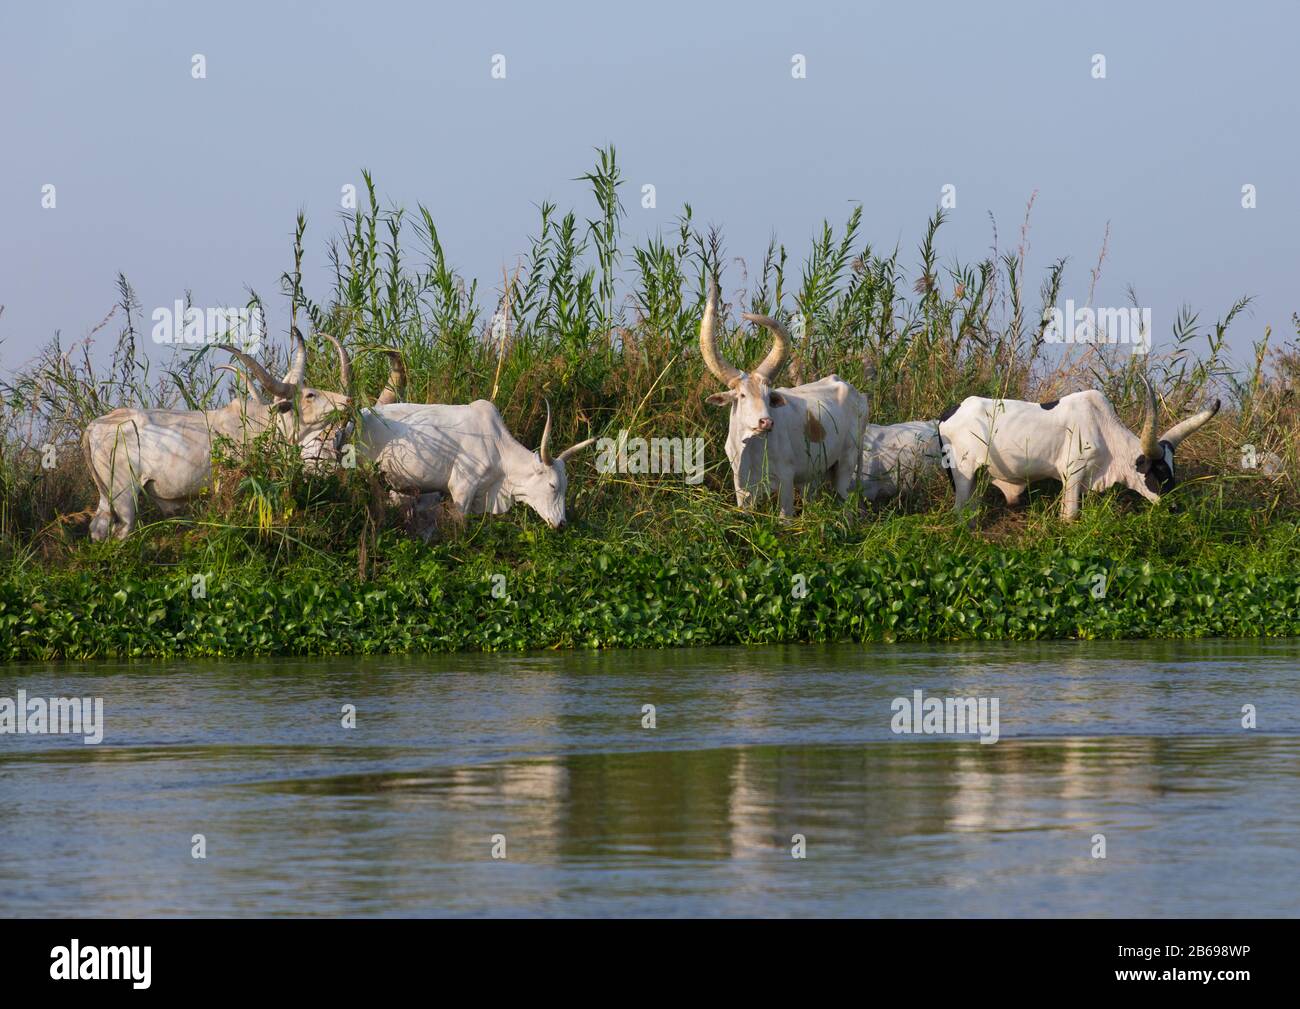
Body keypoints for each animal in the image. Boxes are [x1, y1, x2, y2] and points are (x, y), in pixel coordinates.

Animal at [83, 328, 351, 540]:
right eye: (310, 395)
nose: (347, 400)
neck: (261, 426)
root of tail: (94, 426)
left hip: (106, 495)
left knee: (98, 528)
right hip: (124, 494)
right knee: (122, 530)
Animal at [699, 284, 869, 517]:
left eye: (768, 395)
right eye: (742, 395)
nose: (766, 422)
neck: (751, 448)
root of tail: (857, 395)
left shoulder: (786, 482)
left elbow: (784, 517)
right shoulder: (742, 488)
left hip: (846, 464)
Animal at [938, 377, 1221, 521]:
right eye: (1158, 472)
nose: (1174, 508)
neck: (1104, 431)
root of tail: (948, 414)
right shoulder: (1072, 474)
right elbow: (1070, 515)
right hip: (963, 473)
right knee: (961, 511)